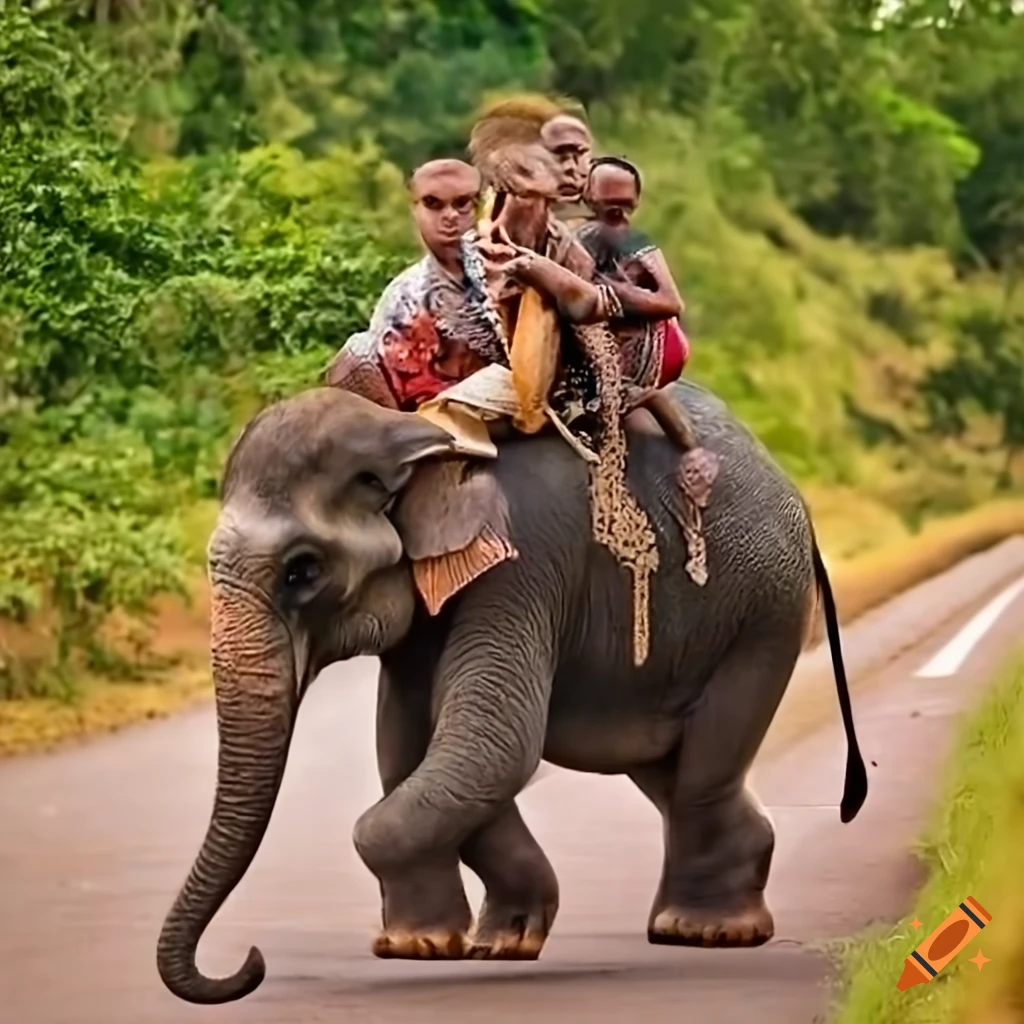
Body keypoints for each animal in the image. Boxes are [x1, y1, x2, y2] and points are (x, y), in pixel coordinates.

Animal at [156, 378, 868, 1005]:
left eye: (302, 570)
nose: (249, 961)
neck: (412, 426)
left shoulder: (520, 562)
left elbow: (490, 746)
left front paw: (418, 947)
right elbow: (414, 748)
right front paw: (478, 944)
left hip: (765, 612)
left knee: (704, 767)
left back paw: (703, 931)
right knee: (667, 767)